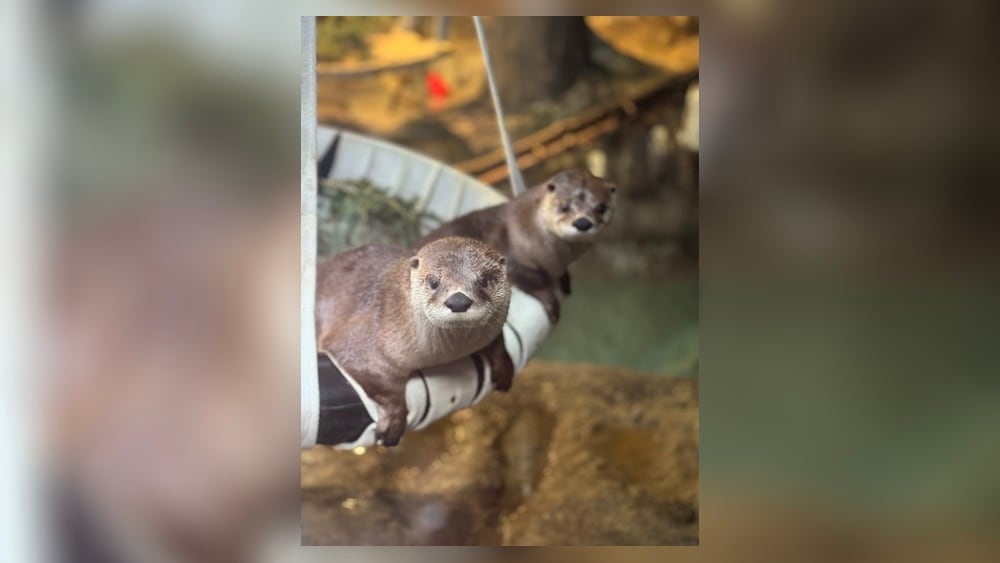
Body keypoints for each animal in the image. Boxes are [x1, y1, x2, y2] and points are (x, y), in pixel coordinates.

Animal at [315, 237, 513, 446]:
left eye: (484, 281)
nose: (458, 301)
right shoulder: (360, 346)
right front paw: (394, 422)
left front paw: (504, 368)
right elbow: (387, 389)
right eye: (434, 282)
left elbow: (498, 343)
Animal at [415, 169, 617, 323]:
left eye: (601, 207)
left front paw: (565, 281)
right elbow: (535, 279)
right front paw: (551, 302)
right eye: (564, 206)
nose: (583, 223)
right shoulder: (507, 256)